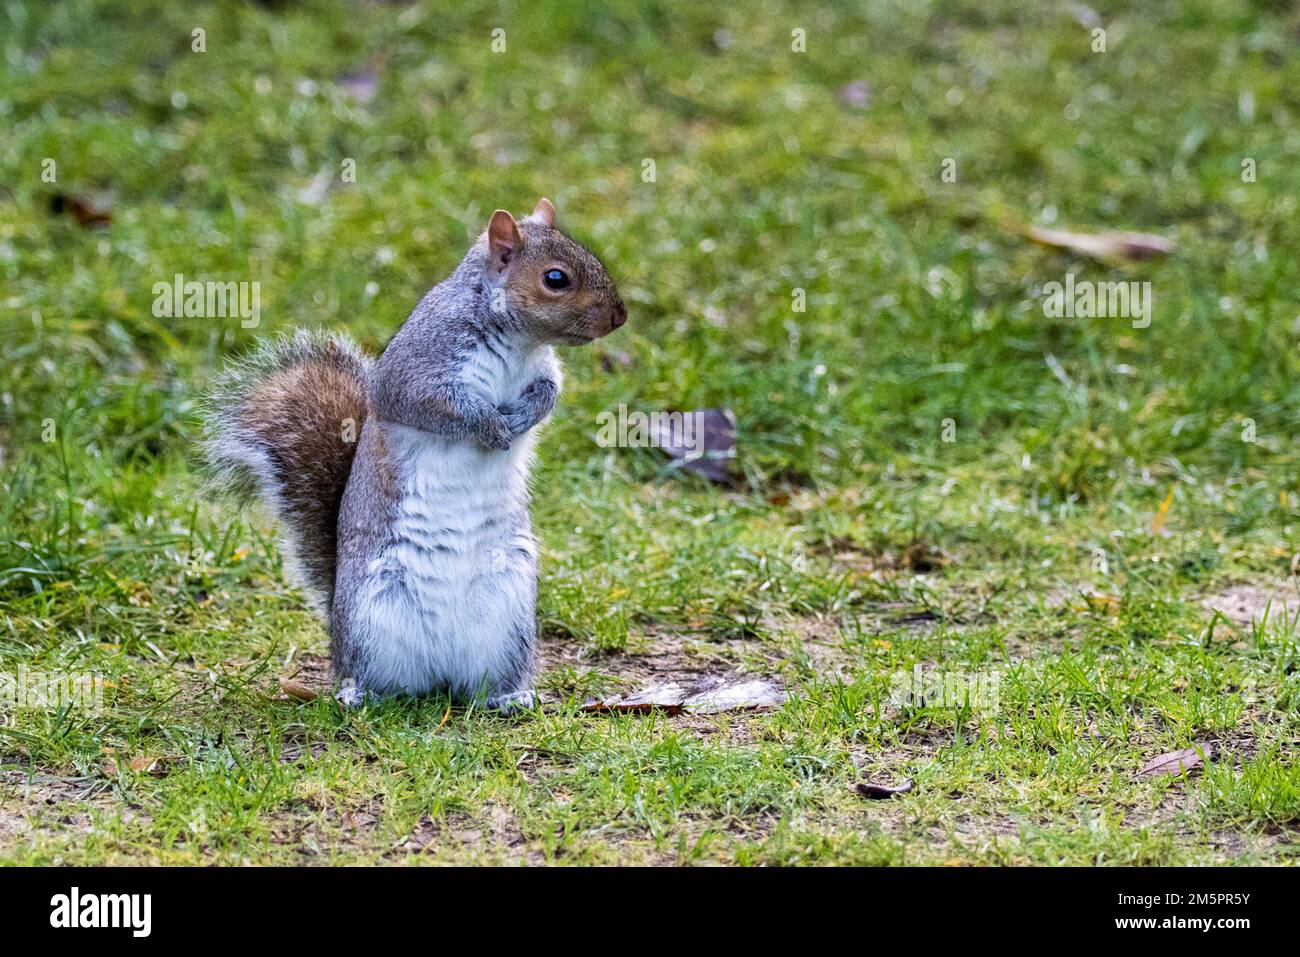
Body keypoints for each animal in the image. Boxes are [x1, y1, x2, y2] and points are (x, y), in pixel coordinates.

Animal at [203, 198, 626, 710]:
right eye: (556, 279)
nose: (619, 317)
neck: (516, 343)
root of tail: (438, 676)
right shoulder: (419, 367)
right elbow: (434, 406)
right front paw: (490, 425)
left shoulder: (542, 370)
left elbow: (548, 393)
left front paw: (522, 417)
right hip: (371, 615)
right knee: (377, 677)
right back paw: (359, 694)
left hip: (507, 619)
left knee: (481, 682)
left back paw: (508, 697)